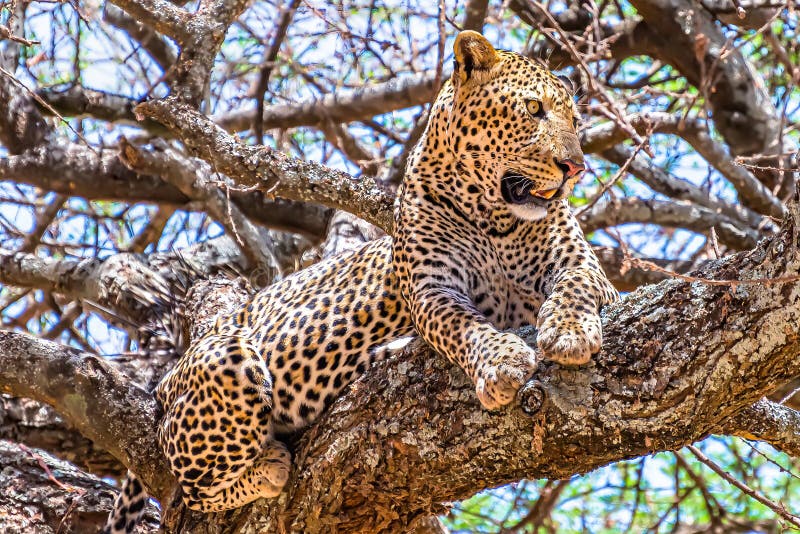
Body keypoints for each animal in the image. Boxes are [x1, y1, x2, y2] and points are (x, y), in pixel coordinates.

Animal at [104, 30, 618, 533]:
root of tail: (170, 375)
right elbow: (465, 326)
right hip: (226, 362)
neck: (495, 217)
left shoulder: (584, 268)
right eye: (533, 109)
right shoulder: (432, 292)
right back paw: (269, 466)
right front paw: (502, 361)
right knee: (192, 491)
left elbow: (574, 287)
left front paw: (569, 333)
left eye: (575, 120)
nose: (576, 168)